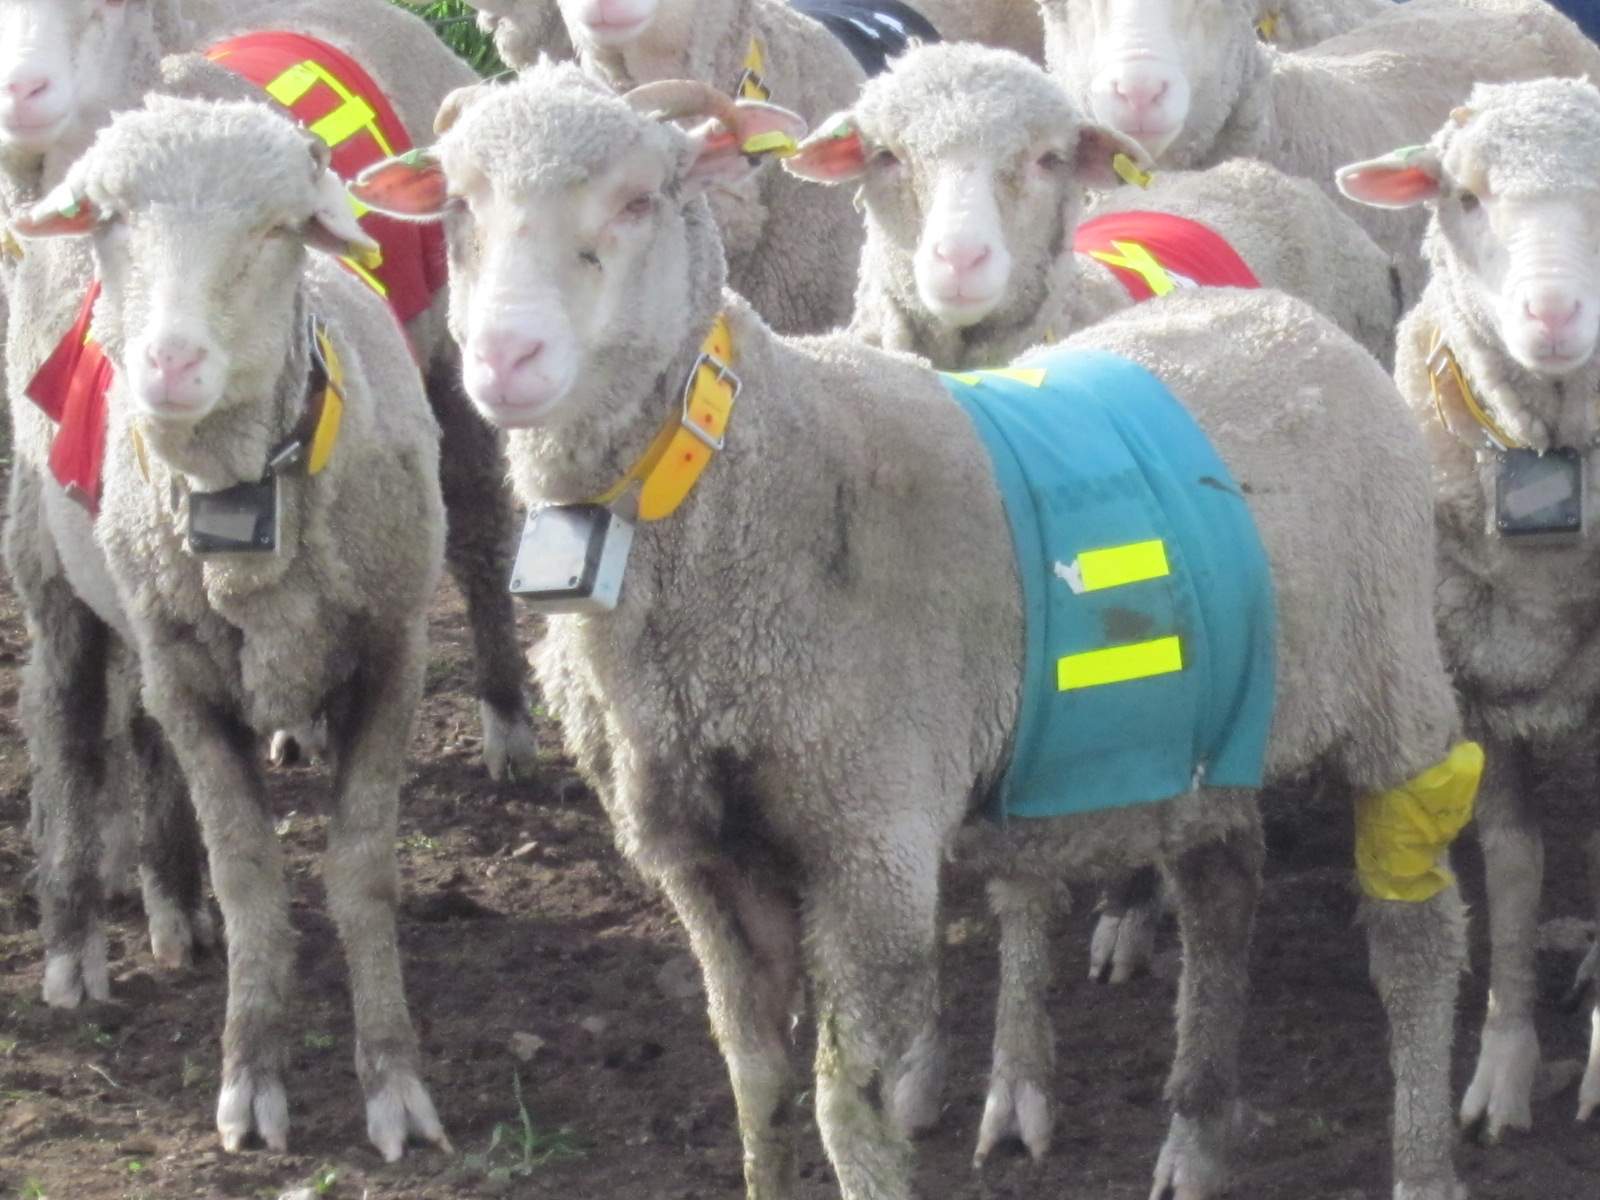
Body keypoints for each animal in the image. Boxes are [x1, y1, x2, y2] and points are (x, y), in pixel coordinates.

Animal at [13, 93, 451, 1161]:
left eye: (276, 228)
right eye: (110, 219)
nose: (170, 367)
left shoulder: (390, 657)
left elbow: (362, 872)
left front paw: (394, 1084)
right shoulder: (193, 685)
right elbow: (251, 874)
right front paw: (251, 1083)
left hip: (151, 615)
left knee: (138, 732)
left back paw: (175, 907)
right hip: (52, 569)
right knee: (65, 728)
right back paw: (74, 946)